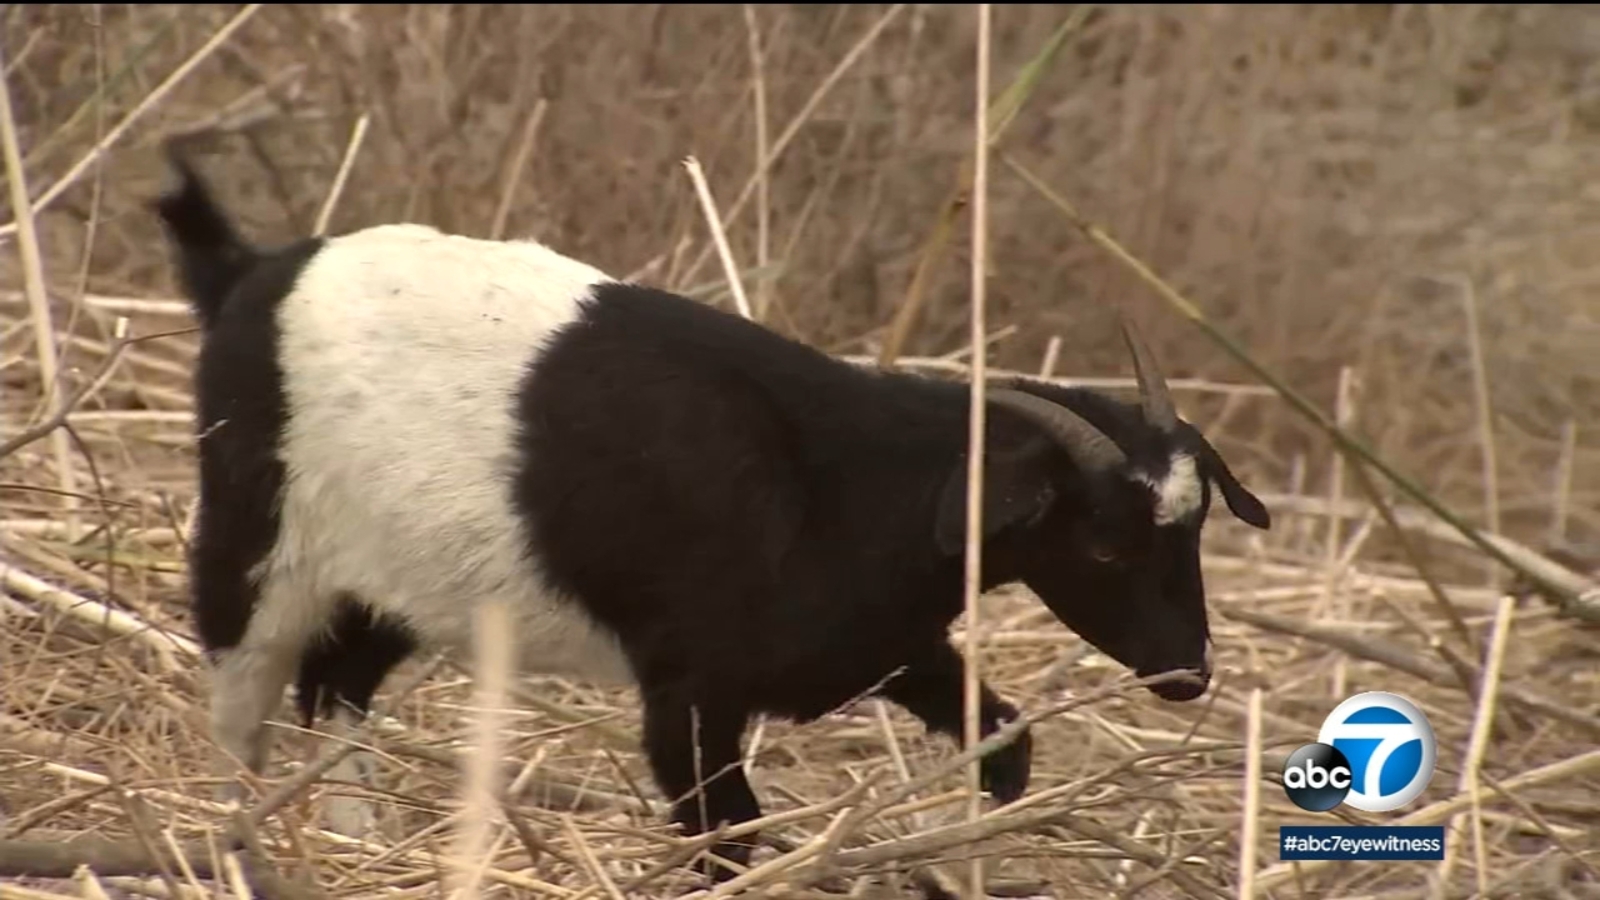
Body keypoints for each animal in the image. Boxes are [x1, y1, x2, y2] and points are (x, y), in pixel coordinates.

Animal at [153, 150, 1271, 882]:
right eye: (1104, 544)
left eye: (1195, 530)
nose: (1189, 672)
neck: (837, 480)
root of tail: (246, 273)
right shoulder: (689, 693)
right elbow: (724, 837)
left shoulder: (881, 647)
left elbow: (1003, 742)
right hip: (261, 542)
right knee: (241, 696)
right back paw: (239, 839)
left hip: (402, 583)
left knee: (338, 686)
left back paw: (355, 837)